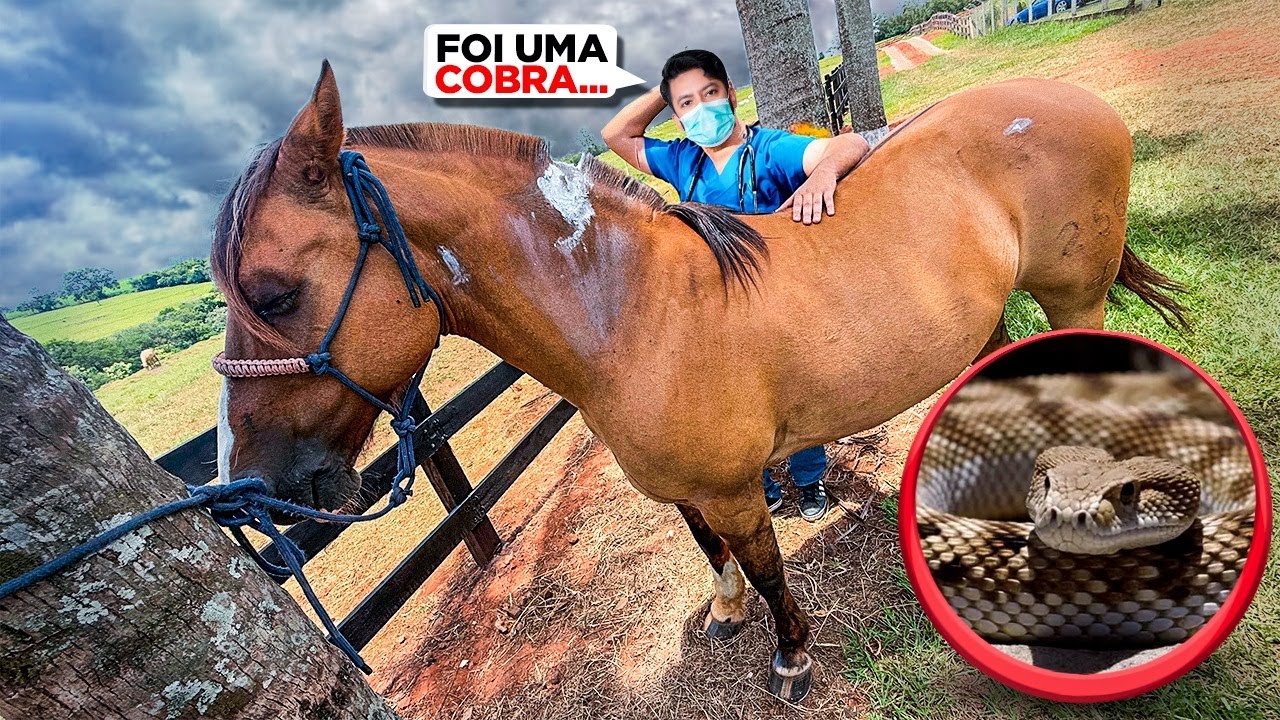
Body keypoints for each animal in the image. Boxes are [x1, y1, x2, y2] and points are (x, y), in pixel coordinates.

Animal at [212, 62, 1185, 701]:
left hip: (1075, 295)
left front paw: (790, 657)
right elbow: (708, 550)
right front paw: (724, 614)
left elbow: (764, 564)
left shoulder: (732, 485)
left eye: (273, 292)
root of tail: (1074, 99)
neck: (634, 311)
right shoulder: (680, 486)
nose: (246, 489)